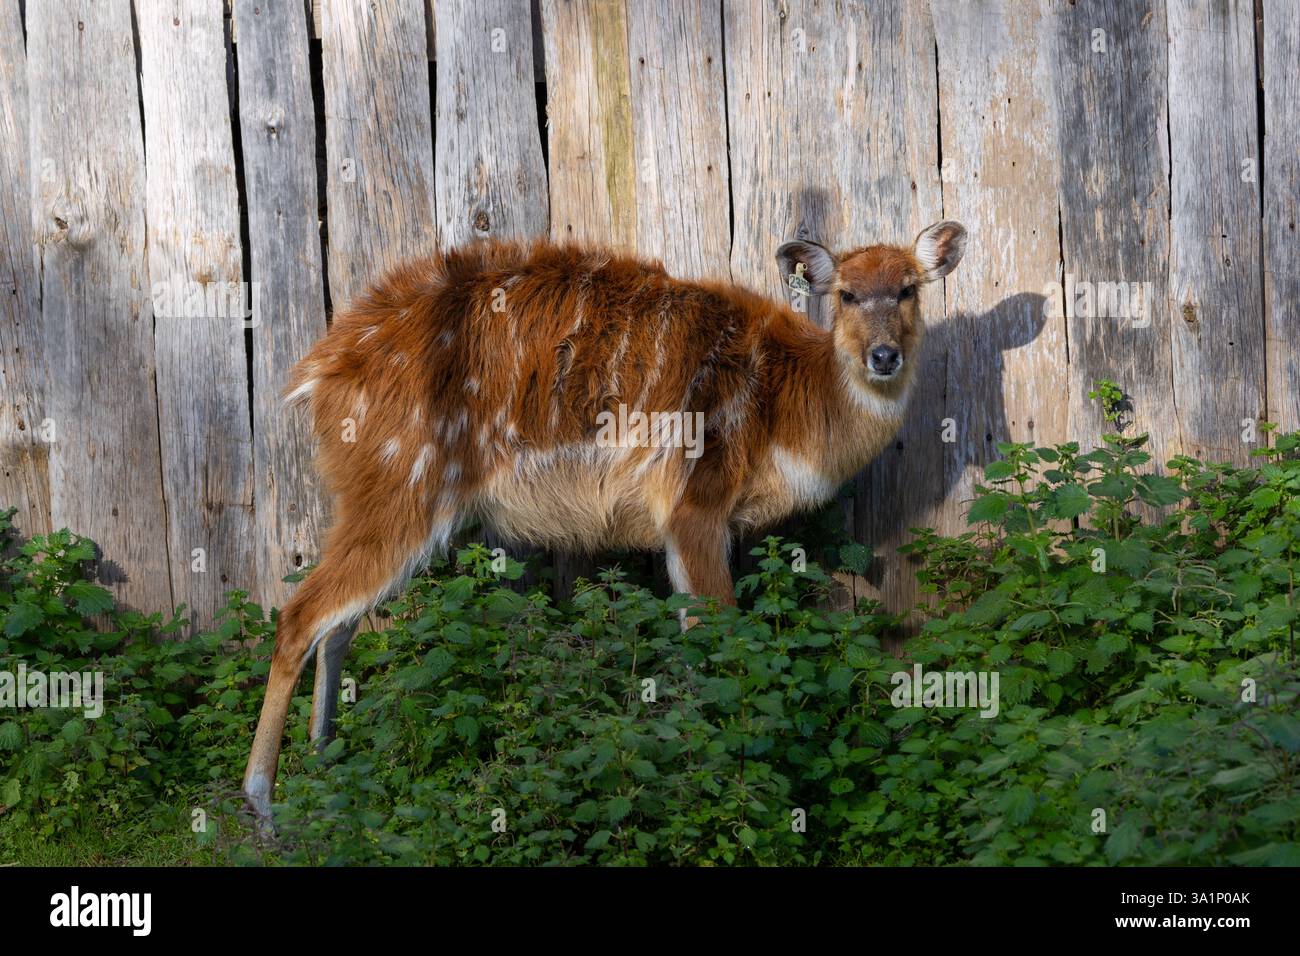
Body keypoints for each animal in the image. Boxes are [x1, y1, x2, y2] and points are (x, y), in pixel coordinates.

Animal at [243, 220, 967, 817]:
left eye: (908, 288)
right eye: (846, 293)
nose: (883, 356)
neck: (784, 409)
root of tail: (318, 375)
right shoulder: (694, 505)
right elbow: (719, 645)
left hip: (384, 503)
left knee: (337, 625)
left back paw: (328, 770)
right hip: (400, 488)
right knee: (301, 614)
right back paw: (263, 805)